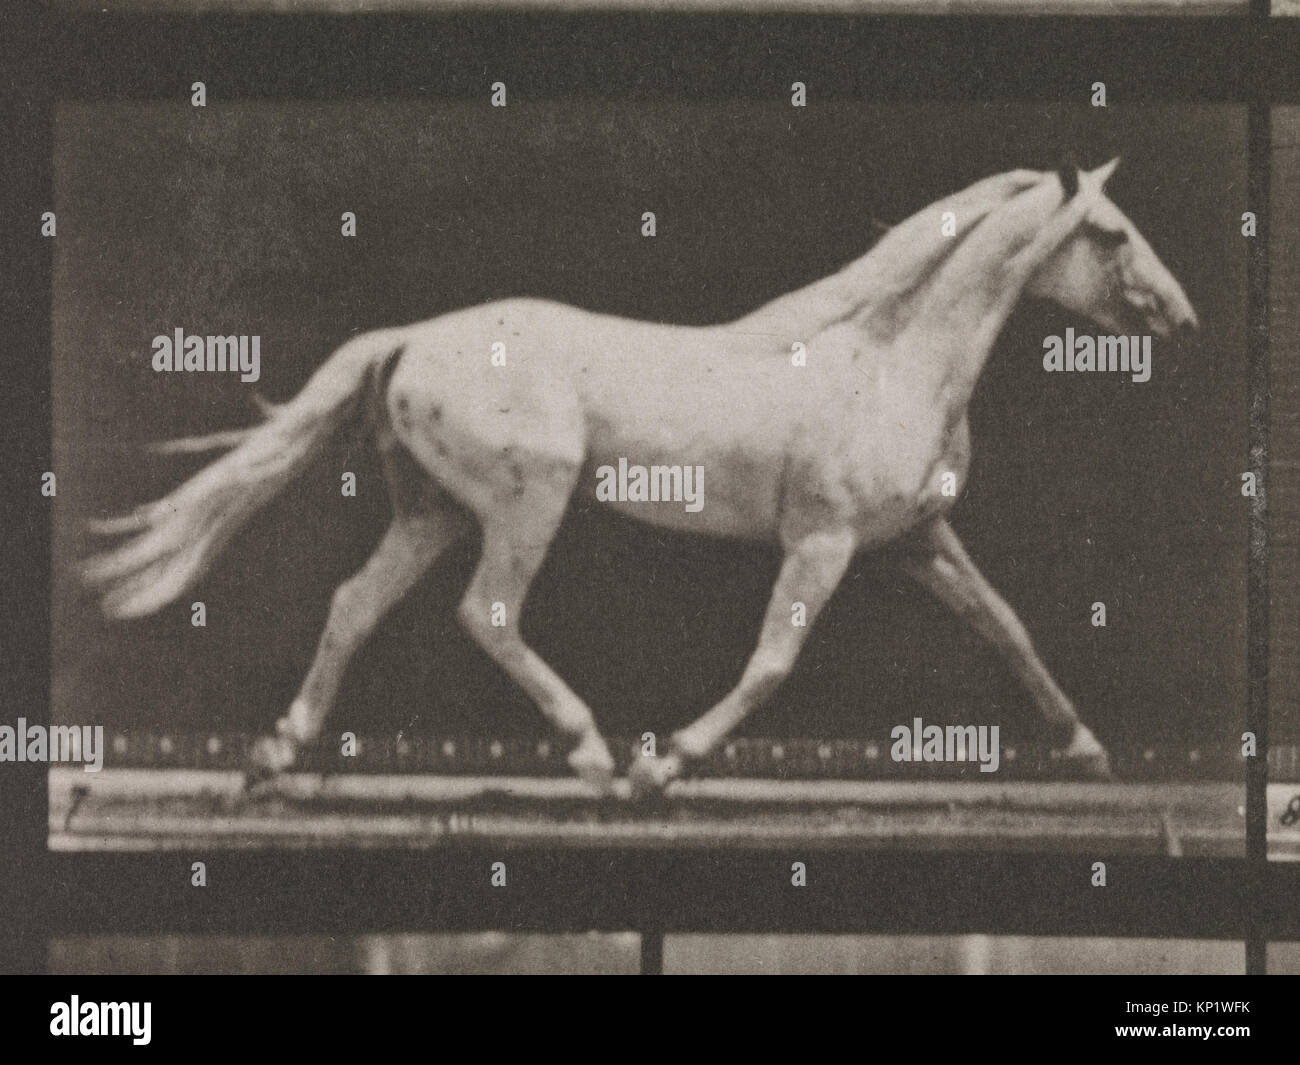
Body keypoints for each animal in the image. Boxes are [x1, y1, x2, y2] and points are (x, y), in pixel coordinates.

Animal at [84, 159, 1198, 795]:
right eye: (1108, 234)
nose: (1180, 317)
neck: (890, 361)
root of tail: (412, 339)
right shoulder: (822, 542)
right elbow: (772, 661)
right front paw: (668, 762)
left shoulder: (918, 540)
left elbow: (1007, 627)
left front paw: (1086, 749)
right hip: (524, 503)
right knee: (485, 613)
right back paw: (592, 751)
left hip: (433, 511)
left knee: (355, 602)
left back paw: (280, 750)